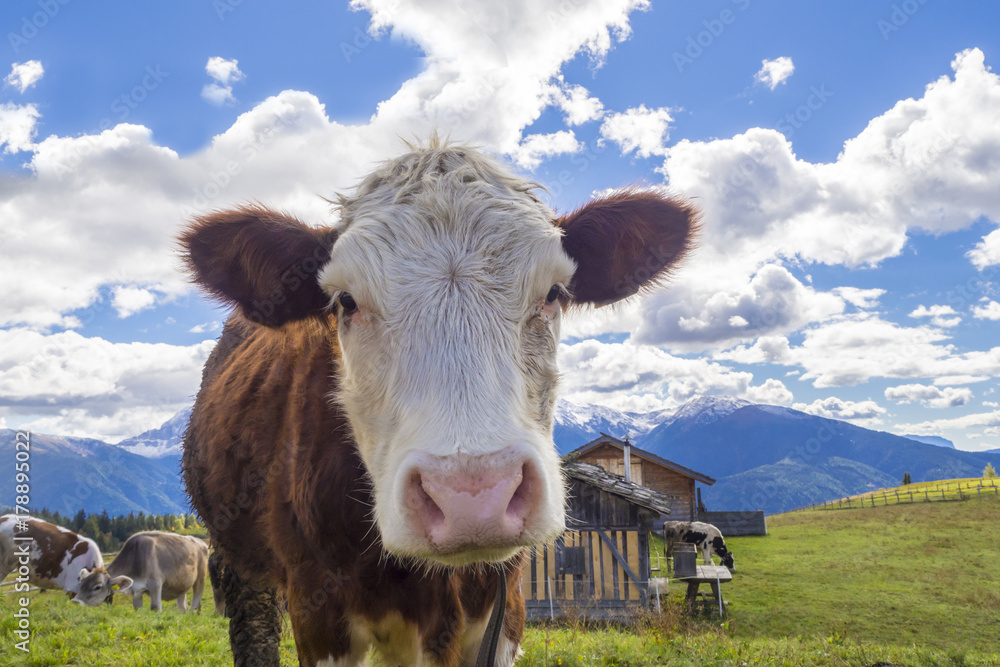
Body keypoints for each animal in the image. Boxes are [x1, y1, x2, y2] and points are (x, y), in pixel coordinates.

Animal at [73, 531, 209, 612]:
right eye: (81, 584)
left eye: (97, 587)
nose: (75, 601)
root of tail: (201, 542)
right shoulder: (137, 590)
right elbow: (137, 608)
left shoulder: (156, 583)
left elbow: (155, 607)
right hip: (181, 585)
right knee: (182, 606)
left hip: (200, 578)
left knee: (195, 602)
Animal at [180, 141, 697, 667]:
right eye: (345, 301)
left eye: (554, 292)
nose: (471, 497)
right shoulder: (316, 609)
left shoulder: (504, 608)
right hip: (241, 563)